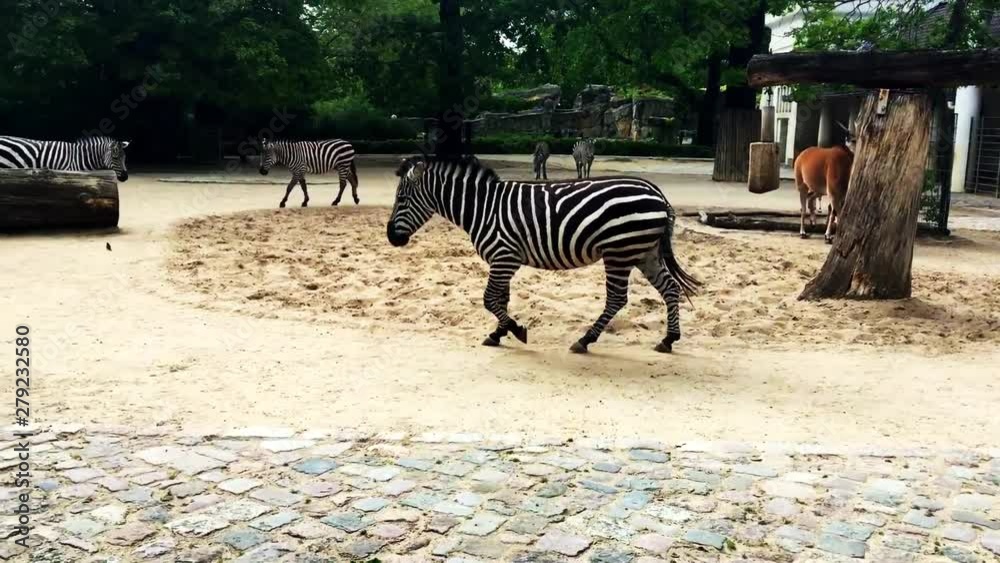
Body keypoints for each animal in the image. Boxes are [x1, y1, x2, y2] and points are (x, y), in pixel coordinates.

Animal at [386, 155, 700, 354]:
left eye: (401, 199)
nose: (391, 238)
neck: (482, 209)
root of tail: (656, 192)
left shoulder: (504, 257)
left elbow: (489, 299)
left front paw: (516, 330)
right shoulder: (504, 260)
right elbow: (501, 299)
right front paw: (499, 333)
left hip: (619, 252)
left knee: (617, 299)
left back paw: (585, 340)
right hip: (644, 252)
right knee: (670, 289)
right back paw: (669, 339)